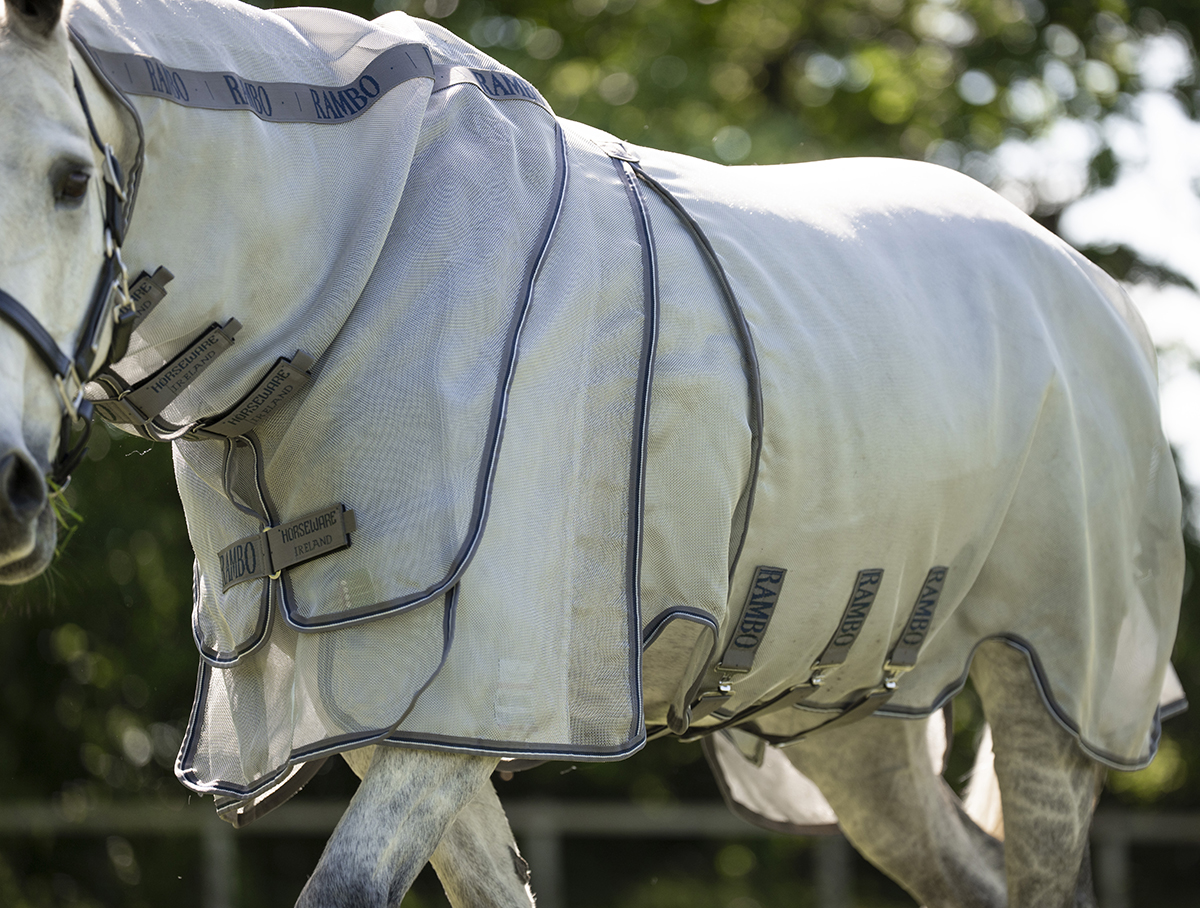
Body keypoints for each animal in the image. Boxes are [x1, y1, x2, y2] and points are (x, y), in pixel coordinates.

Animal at [0, 0, 1186, 905]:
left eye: (71, 180)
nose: (8, 493)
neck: (358, 270)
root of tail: (1094, 287)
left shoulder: (472, 692)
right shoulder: (401, 709)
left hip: (1054, 685)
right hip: (848, 712)